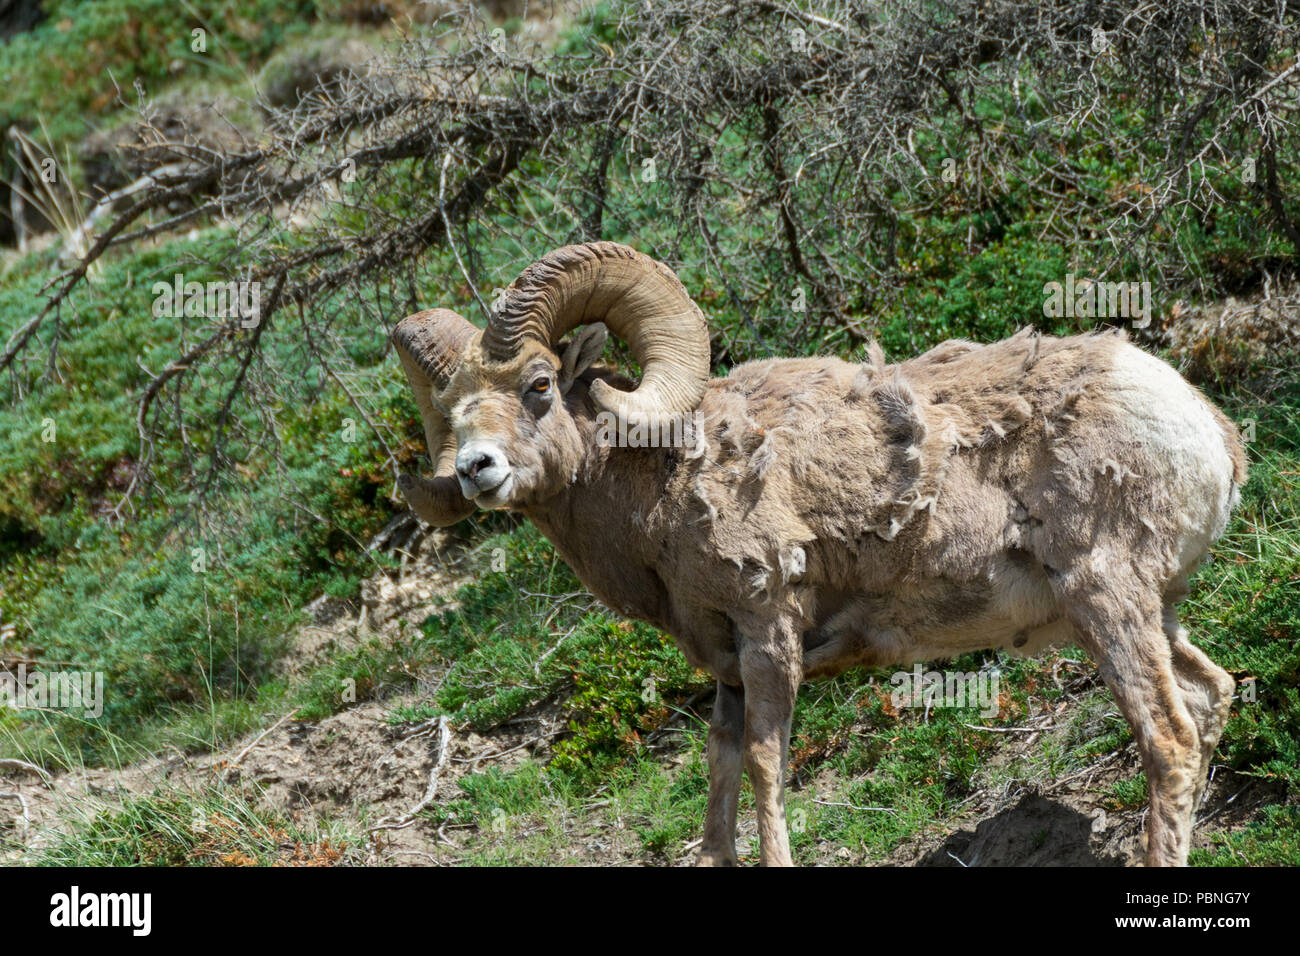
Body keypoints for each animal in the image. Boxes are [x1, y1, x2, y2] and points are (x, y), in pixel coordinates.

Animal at [393, 241, 1247, 866]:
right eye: (451, 410)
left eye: (539, 384)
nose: (475, 470)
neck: (666, 477)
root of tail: (1202, 424)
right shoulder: (728, 670)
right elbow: (719, 776)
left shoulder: (770, 638)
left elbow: (766, 768)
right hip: (1145, 614)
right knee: (1211, 698)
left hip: (1110, 600)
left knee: (1169, 740)